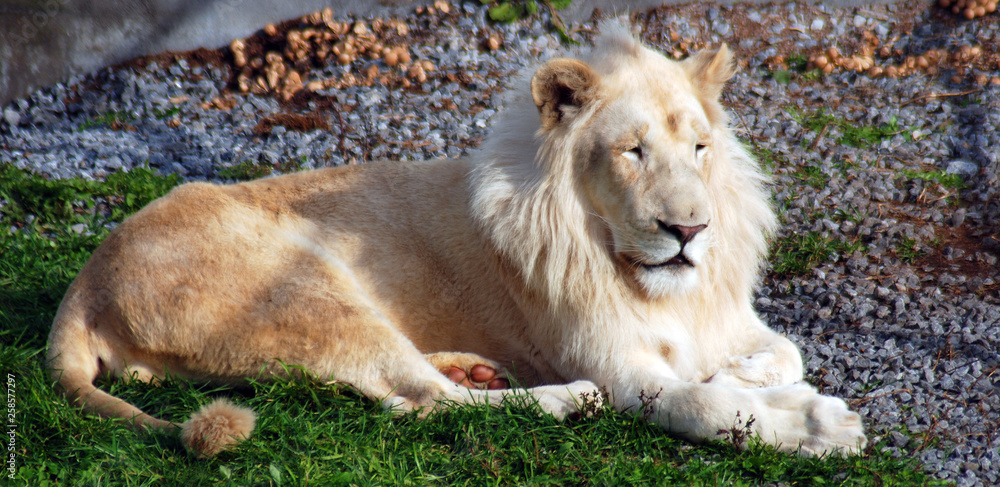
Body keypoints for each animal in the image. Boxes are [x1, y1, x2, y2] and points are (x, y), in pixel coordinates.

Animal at [47, 21, 867, 458]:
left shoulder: (723, 317)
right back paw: (560, 399)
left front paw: (757, 374)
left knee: (413, 386)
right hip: (305, 282)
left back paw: (478, 370)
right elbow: (700, 405)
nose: (689, 230)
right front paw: (814, 422)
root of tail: (83, 285)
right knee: (418, 403)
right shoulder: (622, 368)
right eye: (631, 151)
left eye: (699, 147)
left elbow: (782, 350)